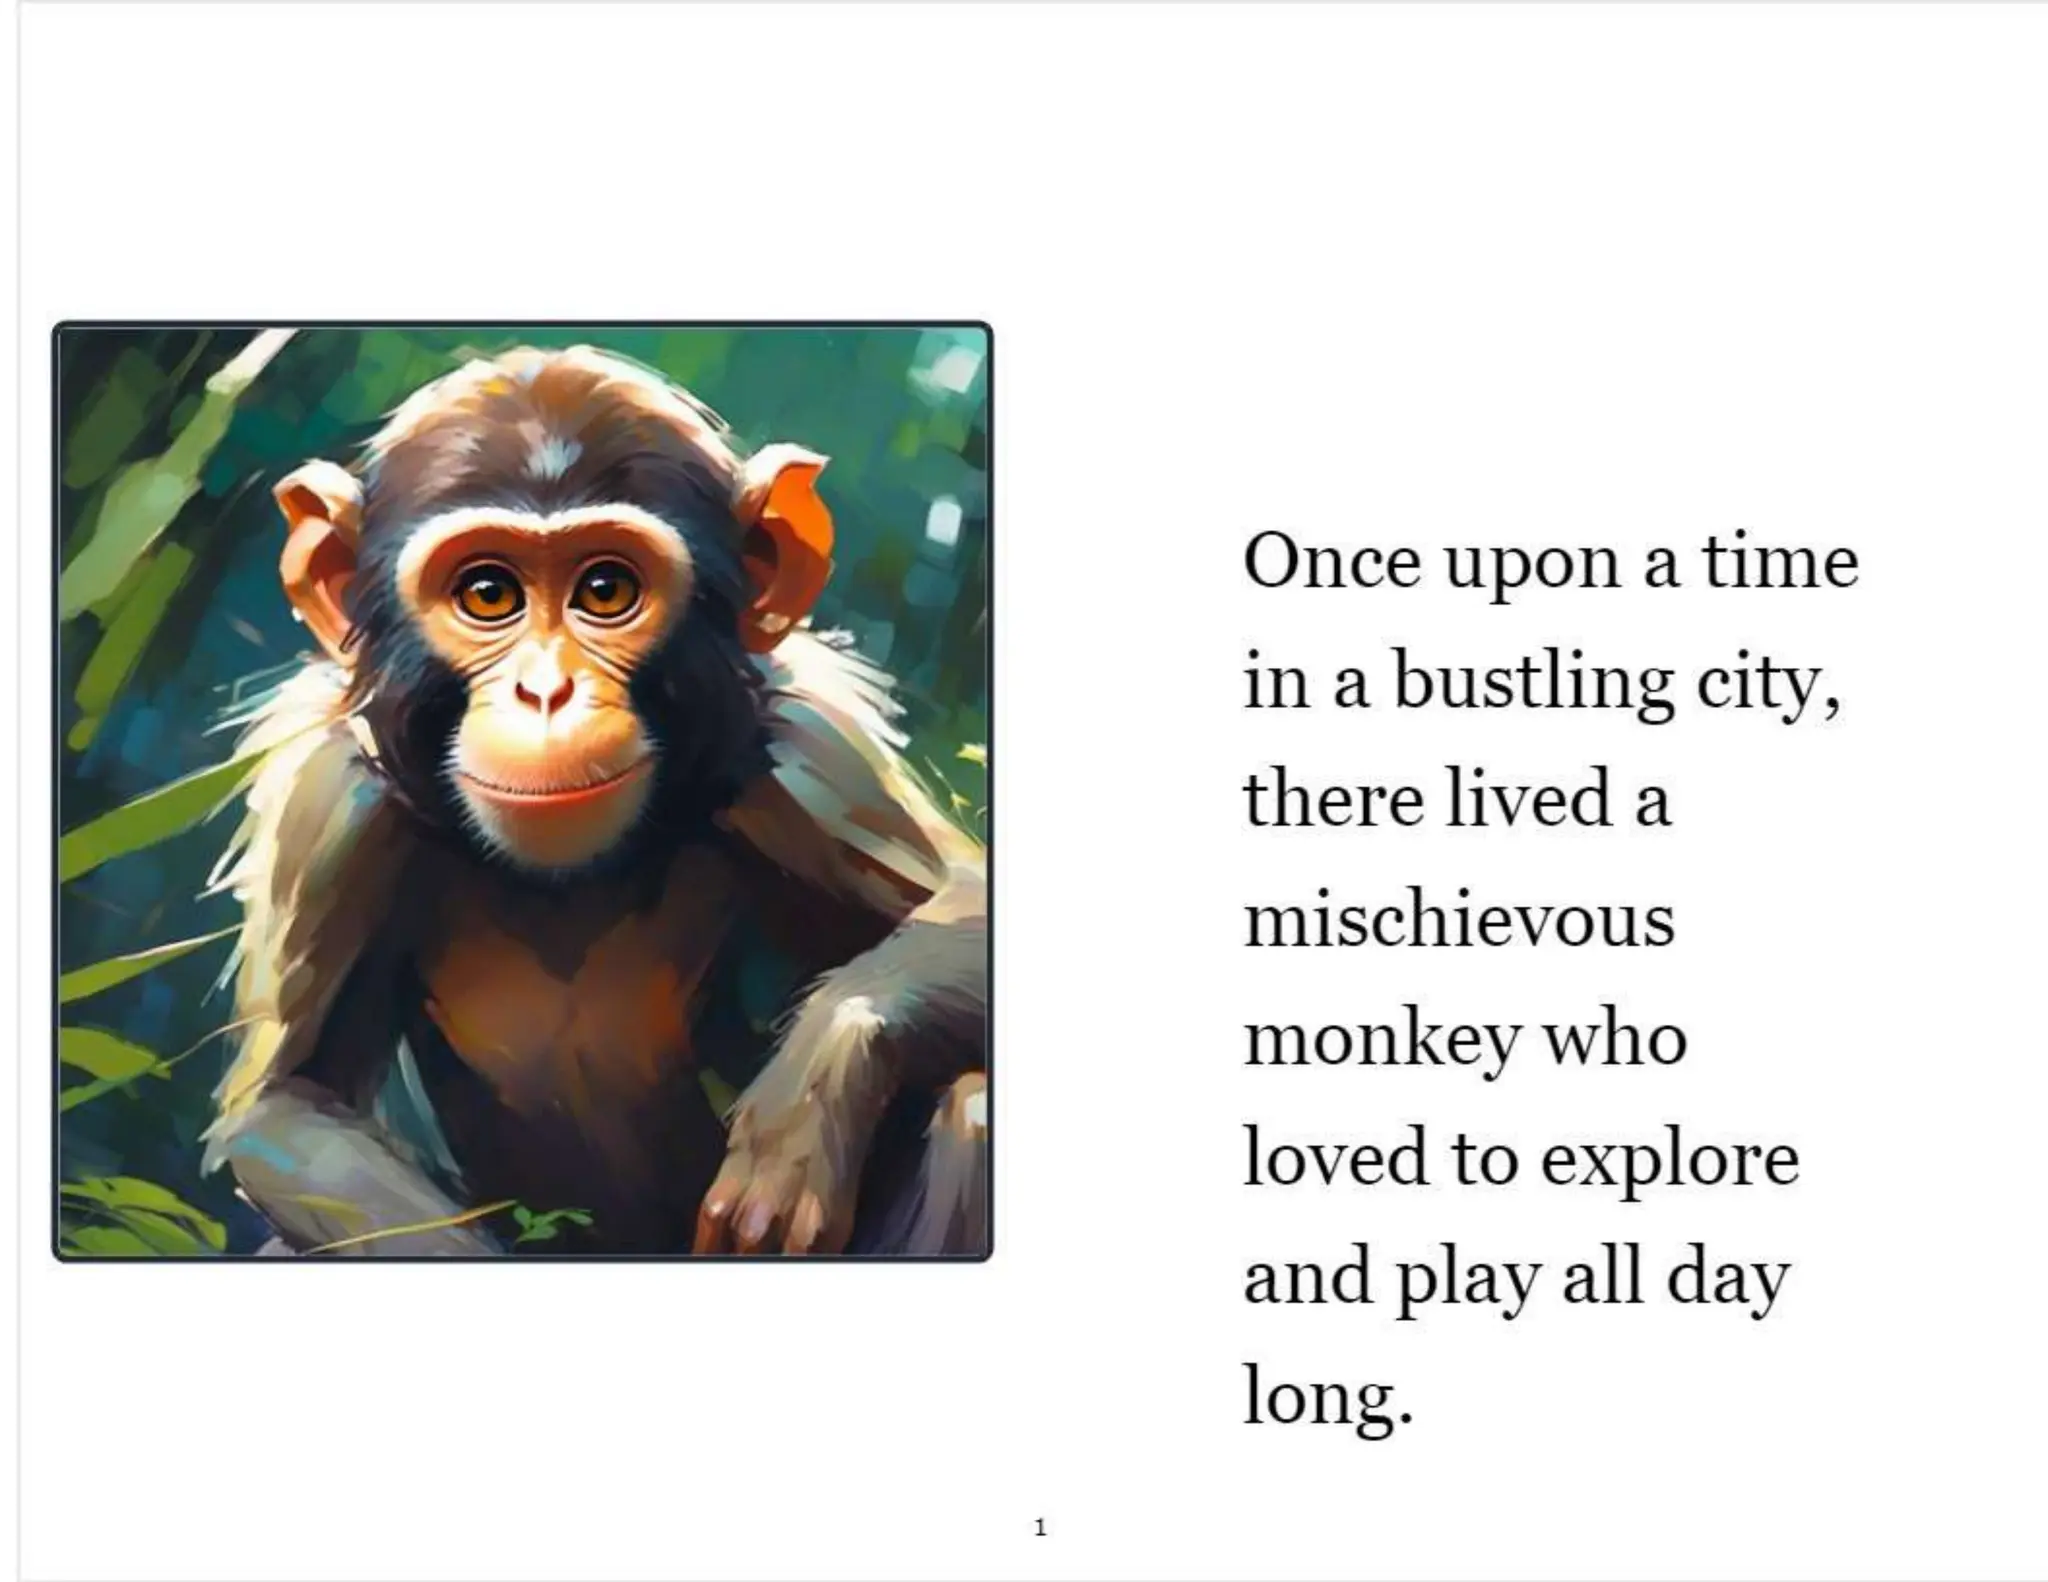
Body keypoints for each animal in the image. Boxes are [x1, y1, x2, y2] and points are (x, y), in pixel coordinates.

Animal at [199, 346, 988, 1257]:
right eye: (488, 595)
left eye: (607, 590)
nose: (546, 691)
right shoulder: (330, 797)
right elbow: (285, 1105)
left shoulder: (807, 747)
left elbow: (968, 899)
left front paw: (810, 1093)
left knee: (974, 1101)